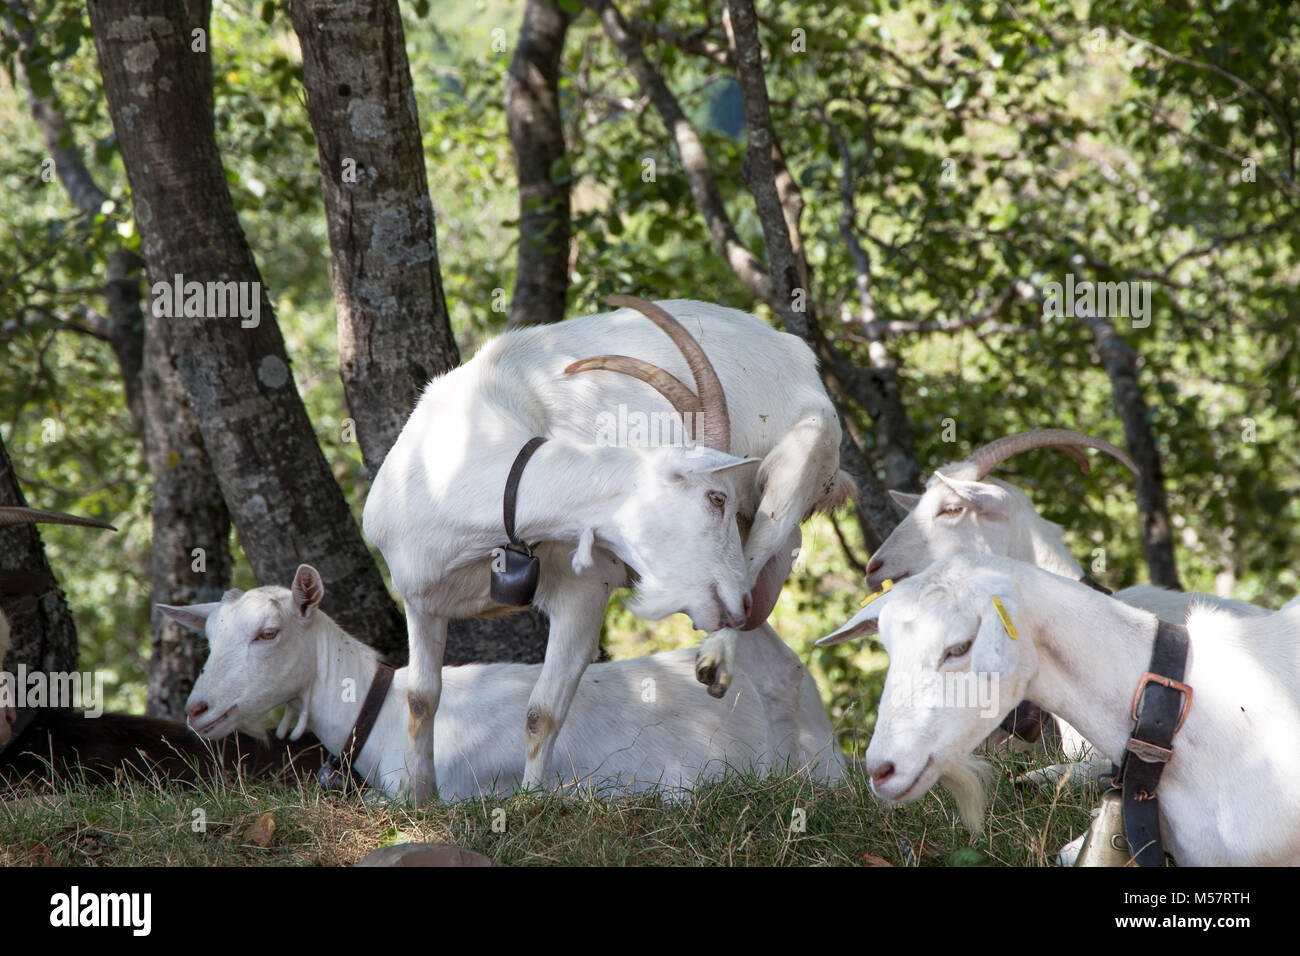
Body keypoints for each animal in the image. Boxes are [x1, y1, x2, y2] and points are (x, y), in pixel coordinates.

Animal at [363, 296, 849, 802]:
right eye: (717, 498)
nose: (738, 603)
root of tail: (793, 350)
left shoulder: (582, 592)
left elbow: (542, 712)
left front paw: (530, 803)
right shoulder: (420, 598)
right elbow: (421, 698)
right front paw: (418, 799)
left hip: (795, 473)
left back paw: (718, 660)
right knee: (779, 671)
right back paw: (781, 779)